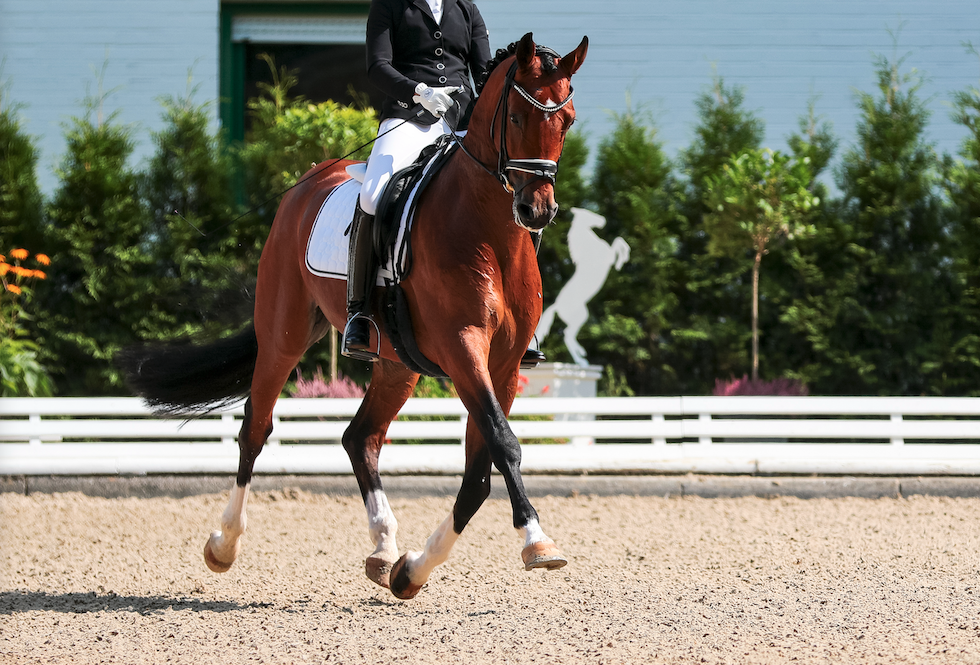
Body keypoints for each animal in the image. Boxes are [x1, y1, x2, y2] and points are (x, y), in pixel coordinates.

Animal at [118, 32, 588, 600]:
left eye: (567, 121)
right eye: (516, 117)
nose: (537, 211)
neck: (489, 232)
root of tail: (309, 180)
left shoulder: (505, 364)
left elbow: (481, 469)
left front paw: (413, 569)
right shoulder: (463, 347)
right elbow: (503, 444)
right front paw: (537, 542)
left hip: (397, 363)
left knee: (359, 437)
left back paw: (385, 549)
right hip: (283, 335)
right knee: (256, 427)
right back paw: (223, 545)